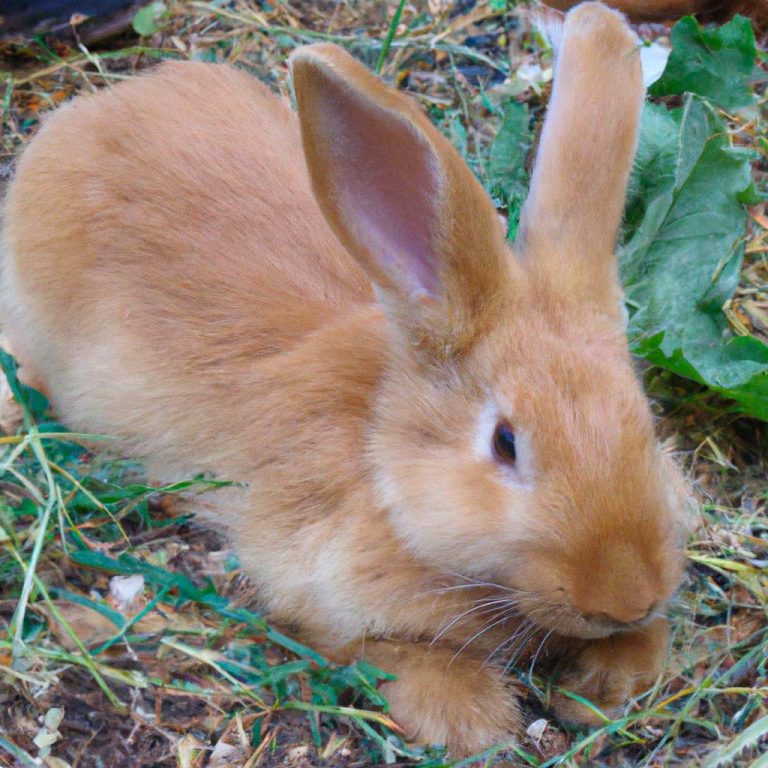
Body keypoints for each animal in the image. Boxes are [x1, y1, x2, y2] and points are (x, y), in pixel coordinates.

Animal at [0, 1, 695, 755]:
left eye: (645, 421)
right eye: (506, 443)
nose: (628, 597)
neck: (381, 459)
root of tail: (84, 117)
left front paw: (610, 678)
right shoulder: (318, 591)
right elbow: (380, 650)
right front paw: (473, 715)